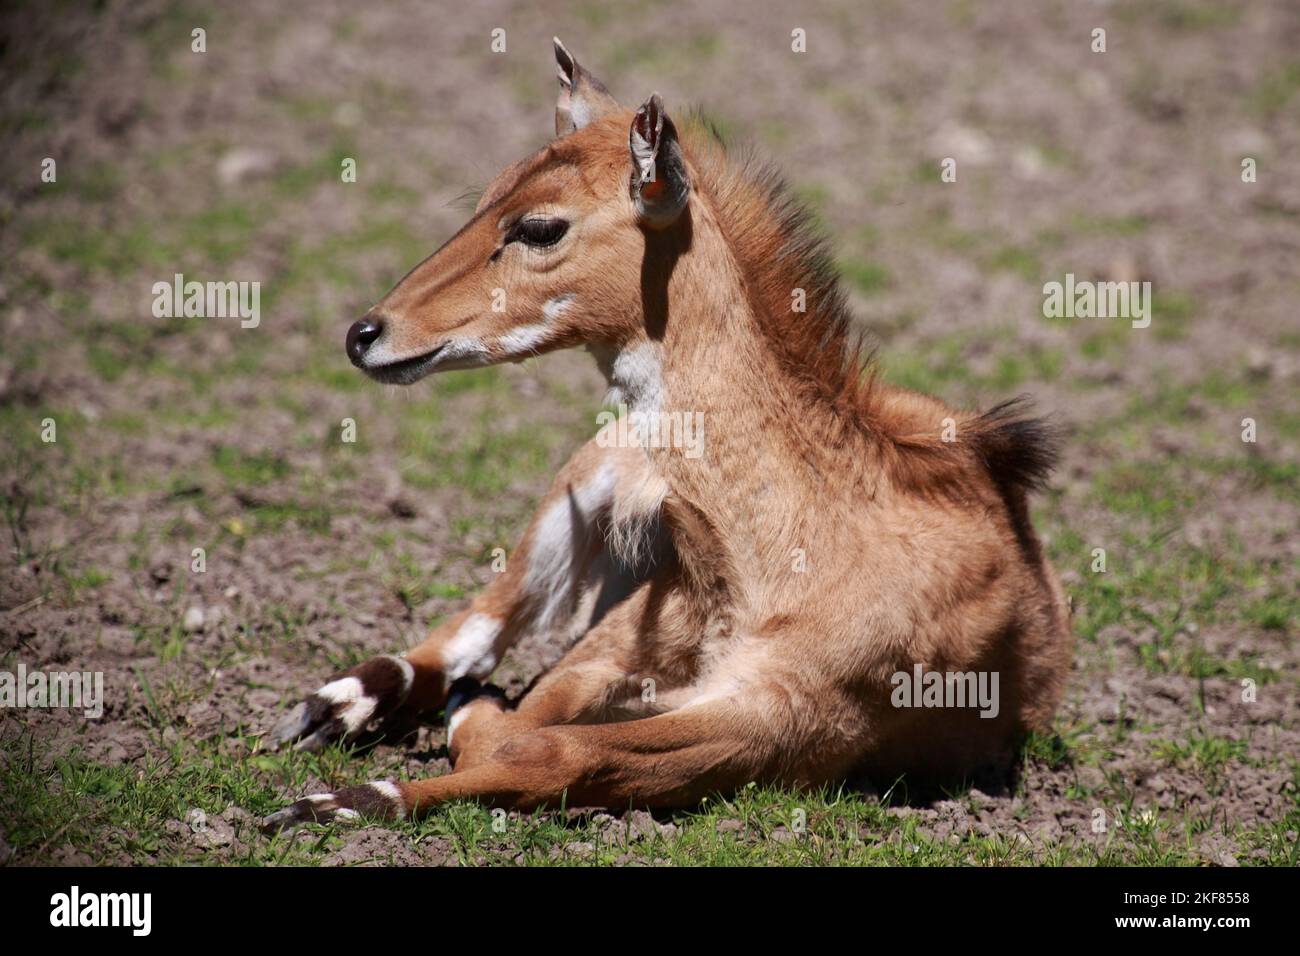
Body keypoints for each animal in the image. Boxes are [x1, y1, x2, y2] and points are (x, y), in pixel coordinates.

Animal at [261, 39, 1072, 831]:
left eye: (539, 225)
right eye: (491, 193)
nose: (365, 334)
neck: (779, 555)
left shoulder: (787, 718)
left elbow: (549, 747)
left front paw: (333, 802)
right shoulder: (636, 625)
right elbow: (530, 714)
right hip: (576, 489)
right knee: (477, 625)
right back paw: (328, 709)